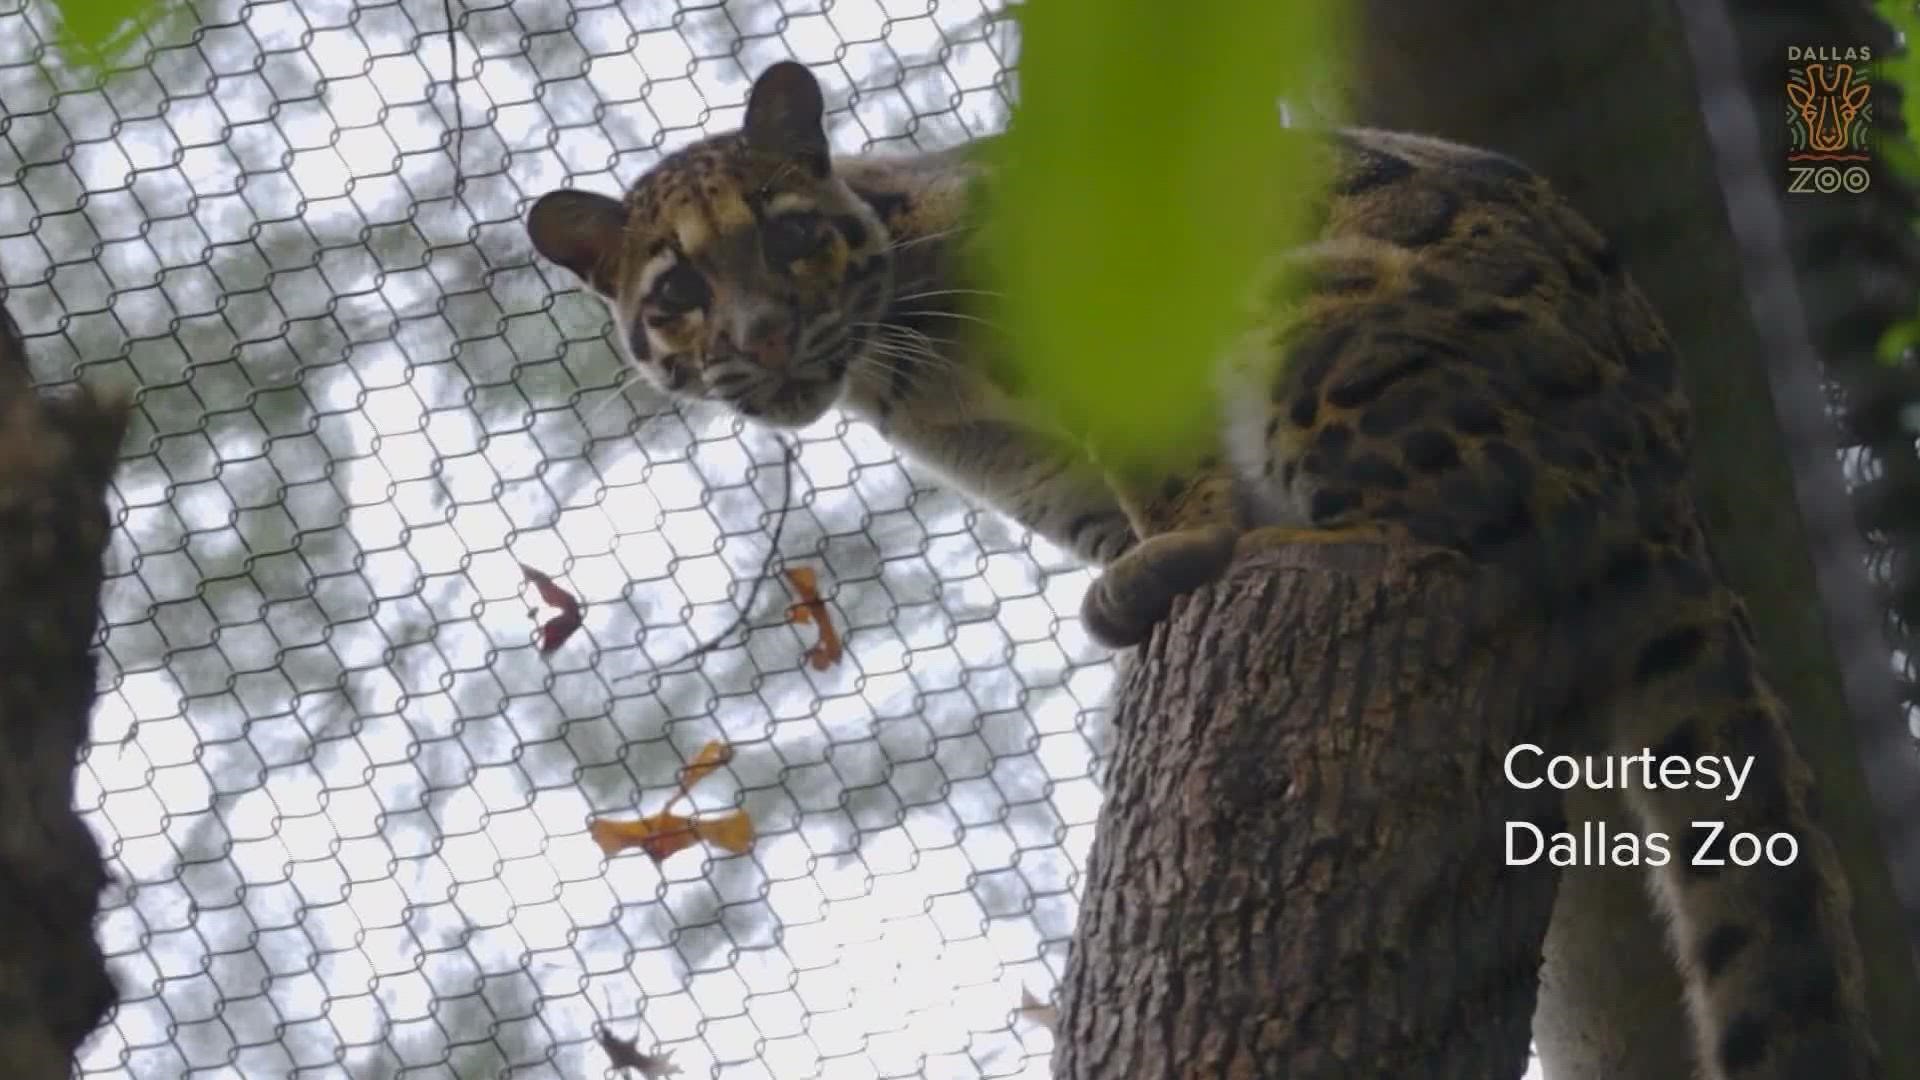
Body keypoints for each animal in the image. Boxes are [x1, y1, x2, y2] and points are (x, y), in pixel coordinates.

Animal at [526, 61, 1880, 1078]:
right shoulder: (1035, 474)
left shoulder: (1123, 342)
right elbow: (1113, 516)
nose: (760, 337)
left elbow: (1166, 475)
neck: (910, 373)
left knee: (1455, 530)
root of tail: (1671, 480)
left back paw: (1292, 539)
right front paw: (1143, 577)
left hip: (1323, 324)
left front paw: (1180, 552)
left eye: (791, 236)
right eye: (679, 290)